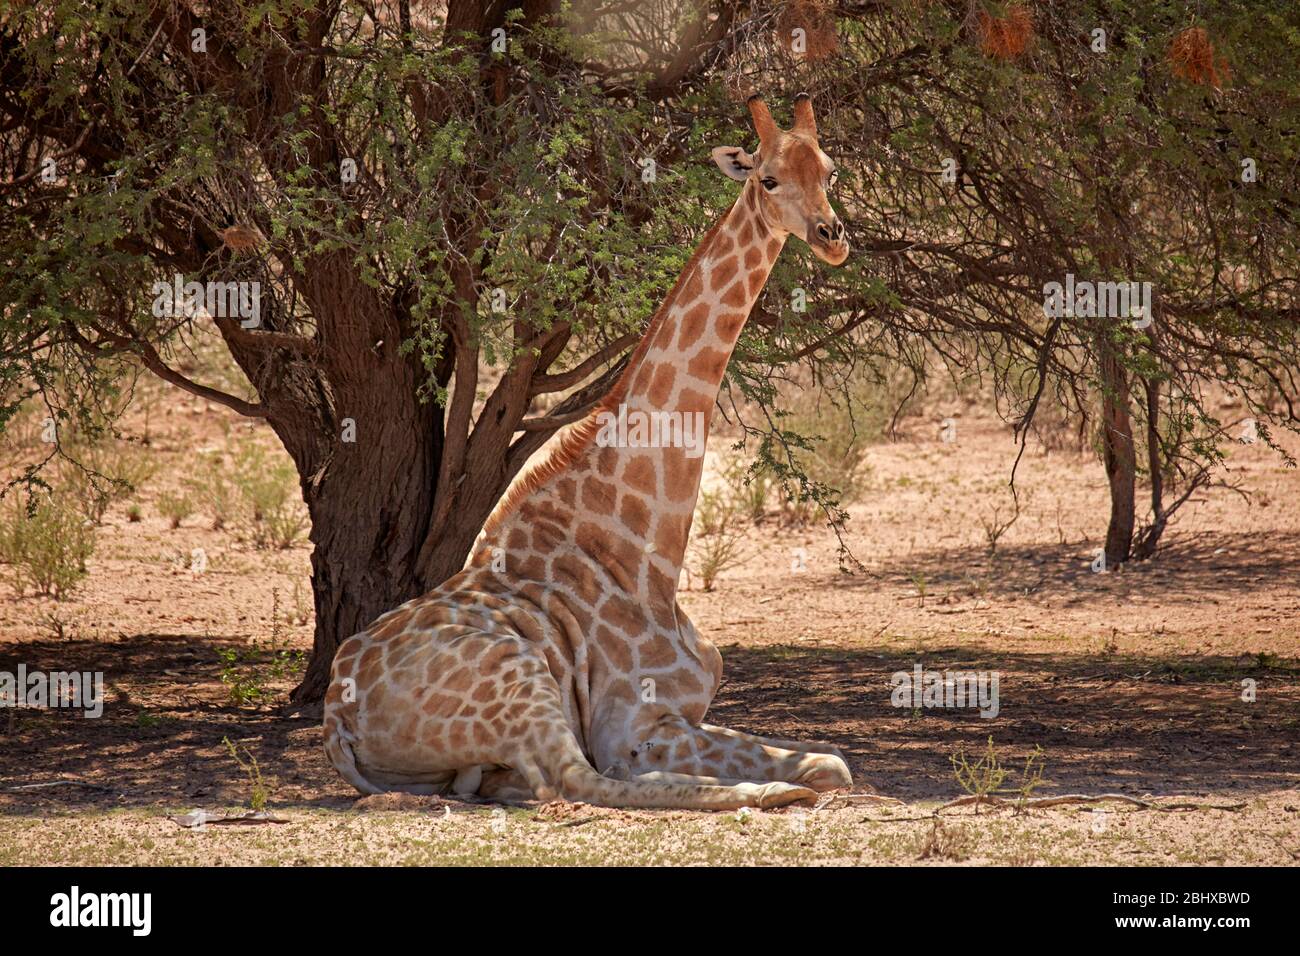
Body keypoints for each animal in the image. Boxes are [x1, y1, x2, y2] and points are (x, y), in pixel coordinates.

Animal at [322, 93, 852, 806]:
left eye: (828, 169)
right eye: (768, 179)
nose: (831, 236)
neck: (647, 552)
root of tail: (336, 716)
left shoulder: (688, 712)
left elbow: (831, 761)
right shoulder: (634, 725)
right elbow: (824, 764)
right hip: (518, 672)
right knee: (577, 781)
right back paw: (765, 794)